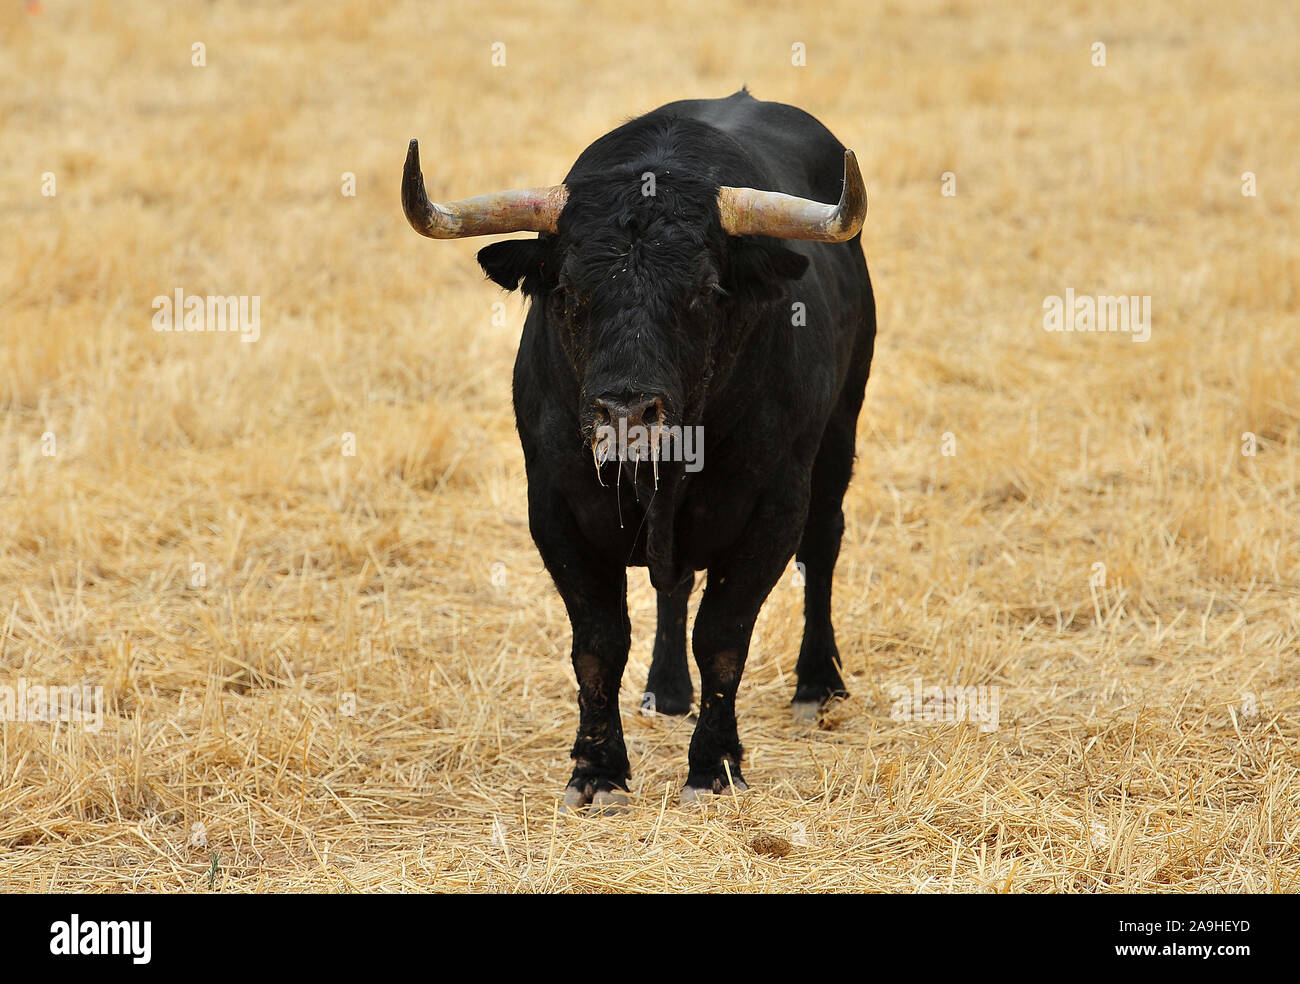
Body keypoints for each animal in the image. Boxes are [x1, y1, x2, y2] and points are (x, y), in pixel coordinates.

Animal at [402, 88, 876, 809]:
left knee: (822, 547)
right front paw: (597, 770)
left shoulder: (774, 507)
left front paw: (714, 766)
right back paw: (667, 689)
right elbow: (600, 643)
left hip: (840, 431)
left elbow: (724, 637)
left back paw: (817, 684)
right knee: (674, 581)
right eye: (568, 291)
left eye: (706, 292)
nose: (627, 413)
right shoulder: (555, 507)